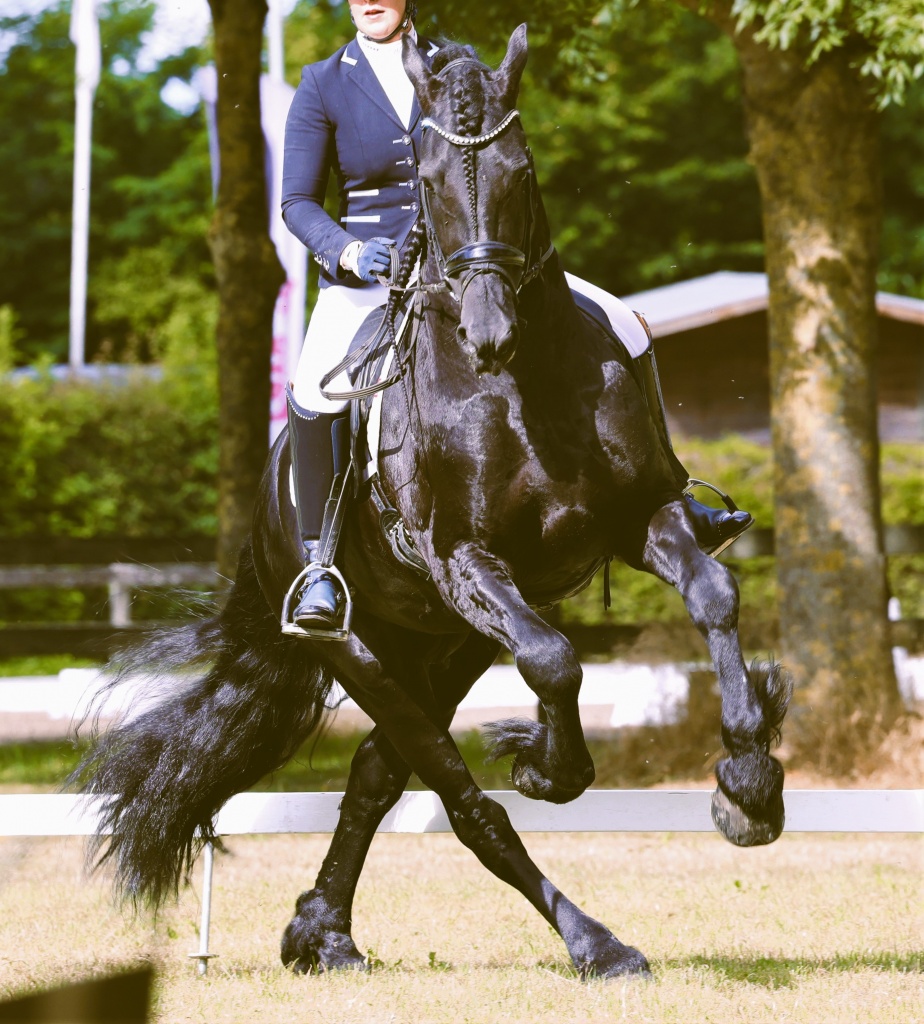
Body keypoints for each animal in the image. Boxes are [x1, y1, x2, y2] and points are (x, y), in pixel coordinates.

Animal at [73, 26, 791, 980]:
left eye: (522, 170)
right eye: (428, 175)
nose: (489, 334)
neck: (523, 386)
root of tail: (269, 505)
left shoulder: (641, 519)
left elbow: (711, 595)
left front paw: (749, 782)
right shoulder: (463, 558)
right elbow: (555, 662)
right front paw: (544, 768)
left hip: (445, 643)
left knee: (378, 772)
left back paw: (323, 931)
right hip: (361, 647)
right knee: (454, 793)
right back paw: (592, 941)